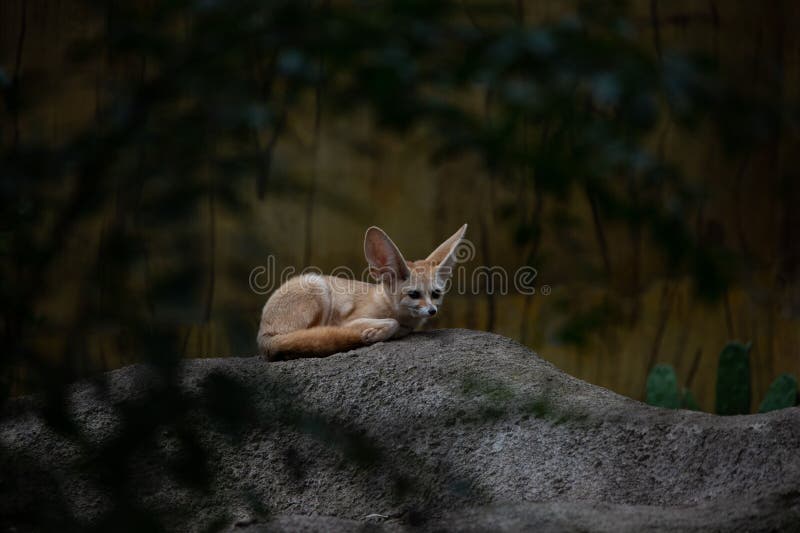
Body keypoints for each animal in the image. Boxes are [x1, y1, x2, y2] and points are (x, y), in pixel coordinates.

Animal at [257, 224, 468, 361]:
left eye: (436, 294)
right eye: (414, 294)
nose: (432, 311)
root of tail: (263, 334)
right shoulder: (349, 321)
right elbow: (391, 323)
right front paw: (376, 334)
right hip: (317, 287)